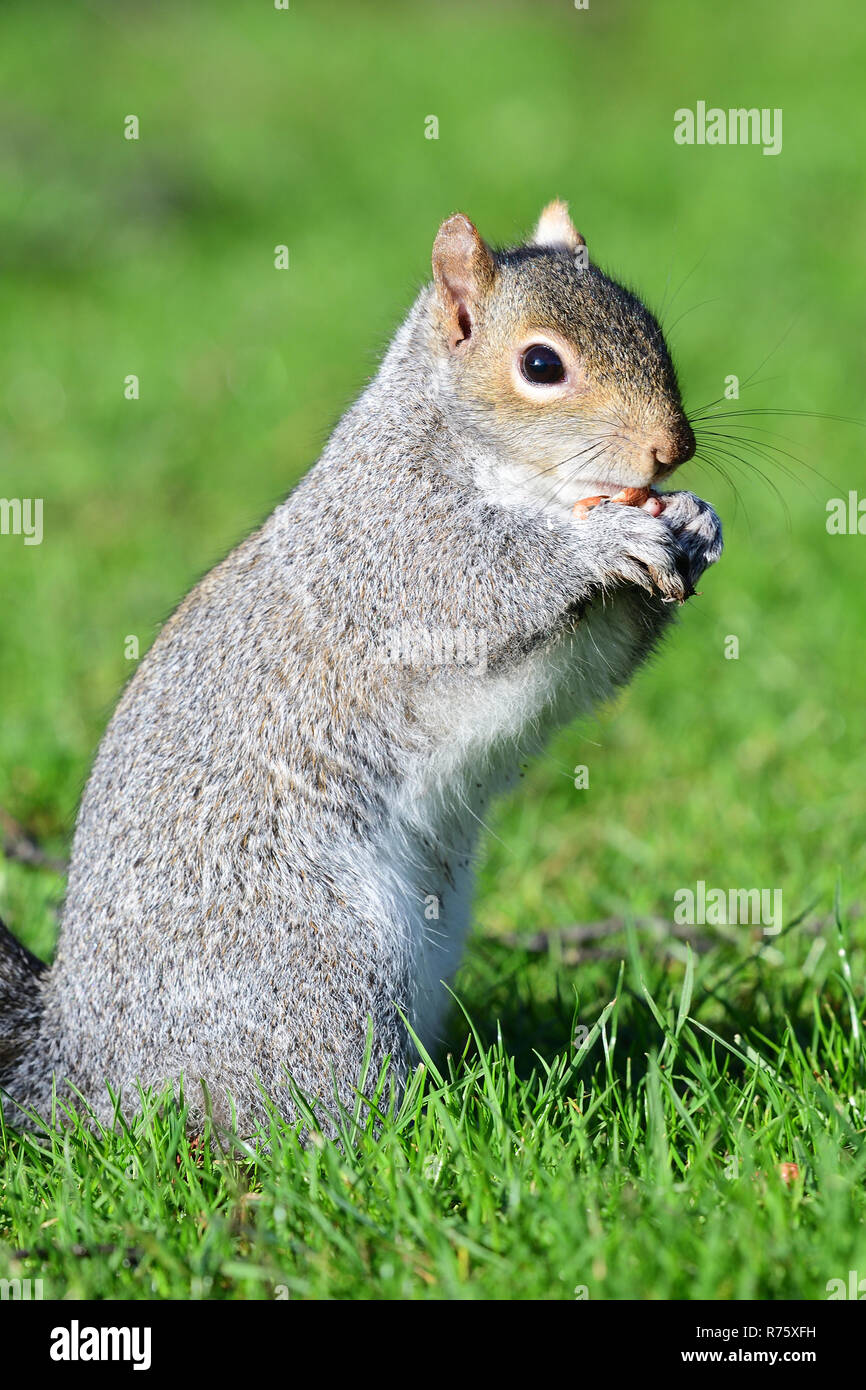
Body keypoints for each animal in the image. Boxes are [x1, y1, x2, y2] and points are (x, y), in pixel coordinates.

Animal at [0, 201, 722, 1136]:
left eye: (651, 325)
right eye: (541, 365)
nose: (674, 449)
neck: (522, 482)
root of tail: (81, 1065)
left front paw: (696, 522)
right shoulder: (396, 546)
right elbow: (486, 582)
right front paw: (608, 541)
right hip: (317, 966)